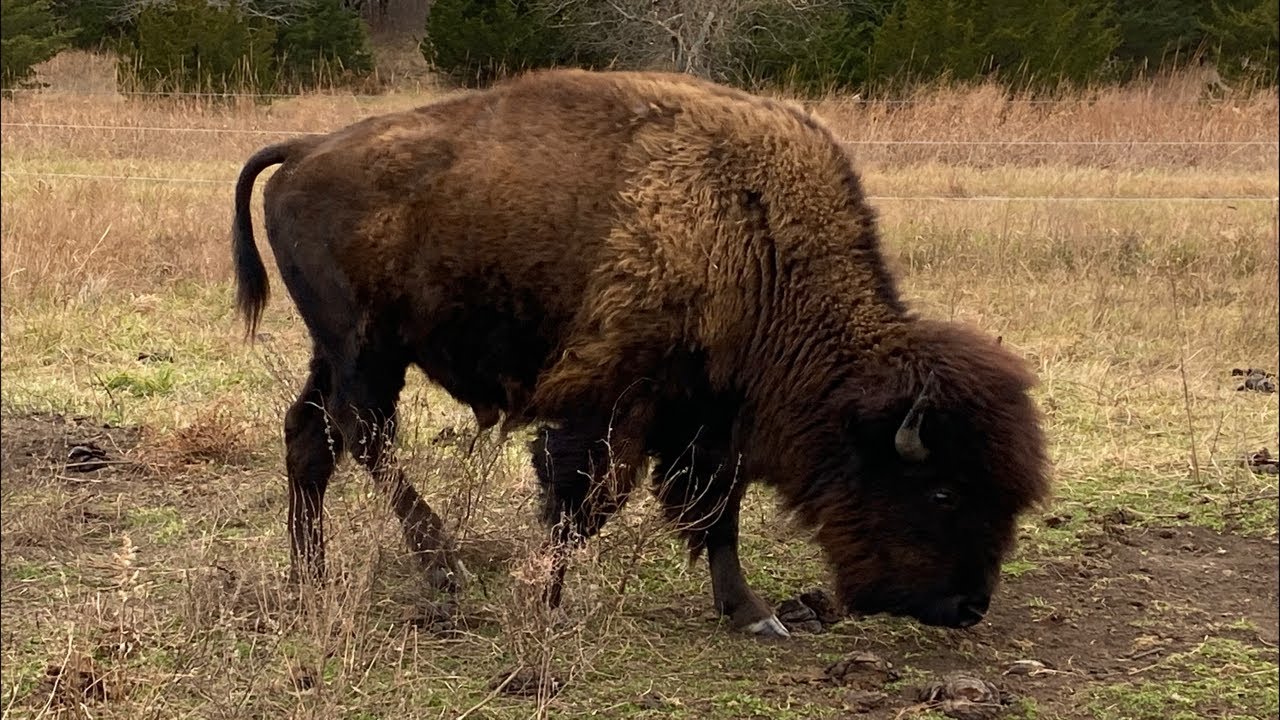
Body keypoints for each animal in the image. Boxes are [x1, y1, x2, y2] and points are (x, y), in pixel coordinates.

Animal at [231, 68, 1050, 637]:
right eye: (941, 492)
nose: (968, 606)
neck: (757, 242)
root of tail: (304, 149)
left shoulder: (712, 418)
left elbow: (716, 510)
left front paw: (752, 612)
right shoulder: (614, 401)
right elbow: (585, 499)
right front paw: (543, 598)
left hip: (341, 351)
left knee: (311, 436)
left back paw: (312, 575)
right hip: (367, 348)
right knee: (362, 433)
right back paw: (442, 563)